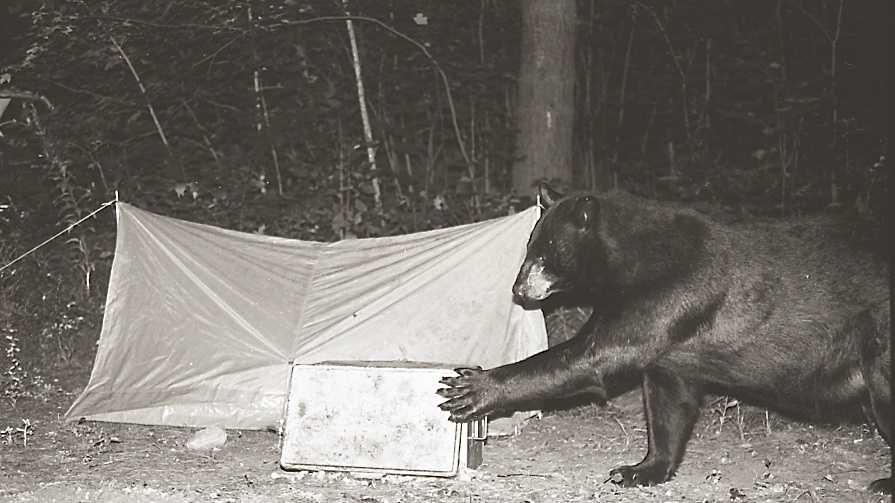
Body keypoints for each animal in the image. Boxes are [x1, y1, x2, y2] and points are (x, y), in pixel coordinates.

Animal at [437, 184, 891, 494]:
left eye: (546, 253)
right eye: (529, 246)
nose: (517, 289)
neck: (628, 261)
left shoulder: (670, 296)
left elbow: (594, 356)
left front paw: (471, 387)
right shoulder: (674, 353)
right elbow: (668, 403)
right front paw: (639, 470)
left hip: (881, 349)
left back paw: (882, 482)